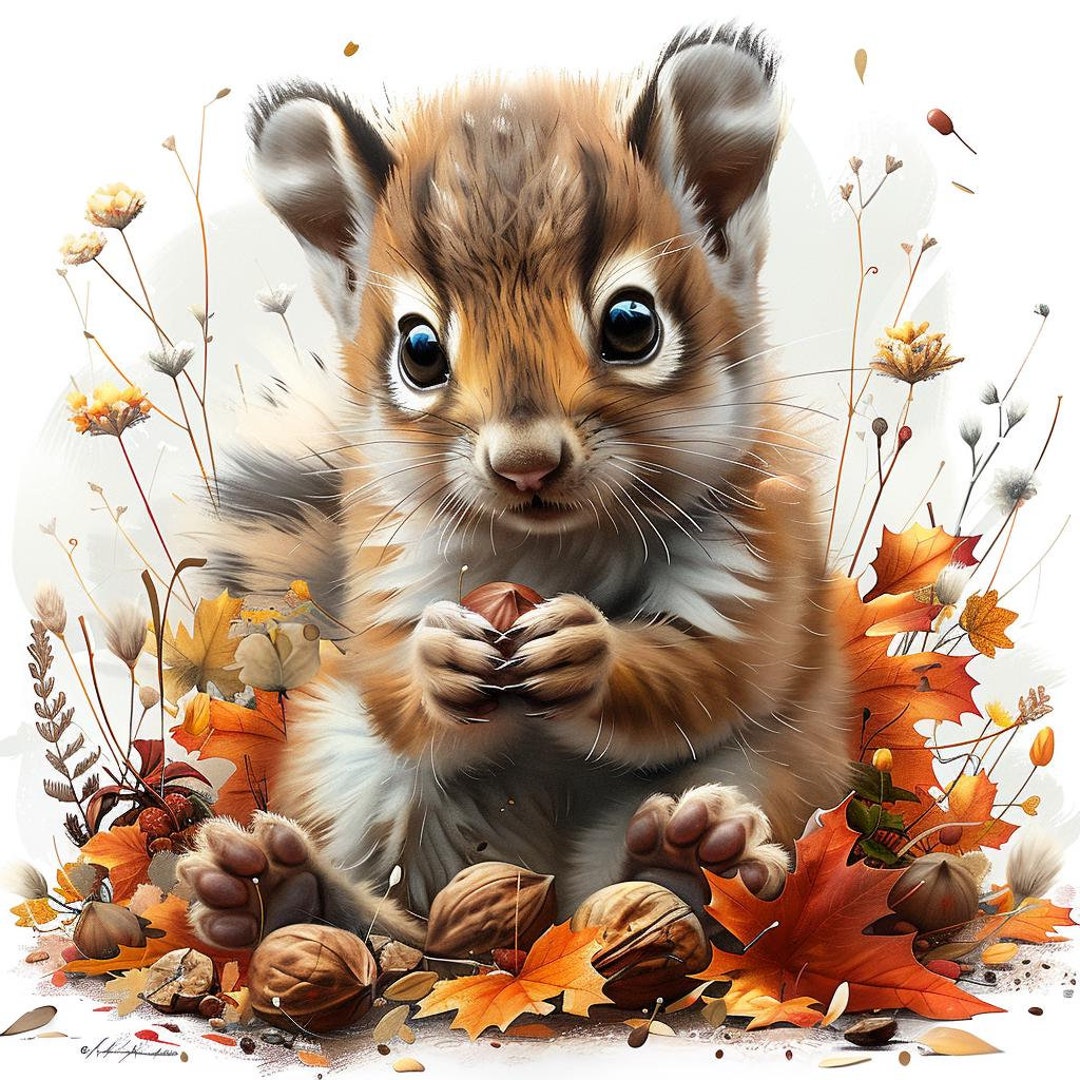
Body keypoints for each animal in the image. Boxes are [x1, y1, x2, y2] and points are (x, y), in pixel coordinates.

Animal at [178, 25, 853, 951]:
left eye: (632, 324)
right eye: (418, 348)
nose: (526, 463)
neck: (553, 545)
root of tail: (543, 902)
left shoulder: (754, 546)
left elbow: (714, 668)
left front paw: (590, 654)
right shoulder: (390, 556)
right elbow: (393, 684)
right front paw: (438, 660)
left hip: (778, 772)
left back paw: (687, 862)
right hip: (350, 770)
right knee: (410, 923)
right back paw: (280, 896)